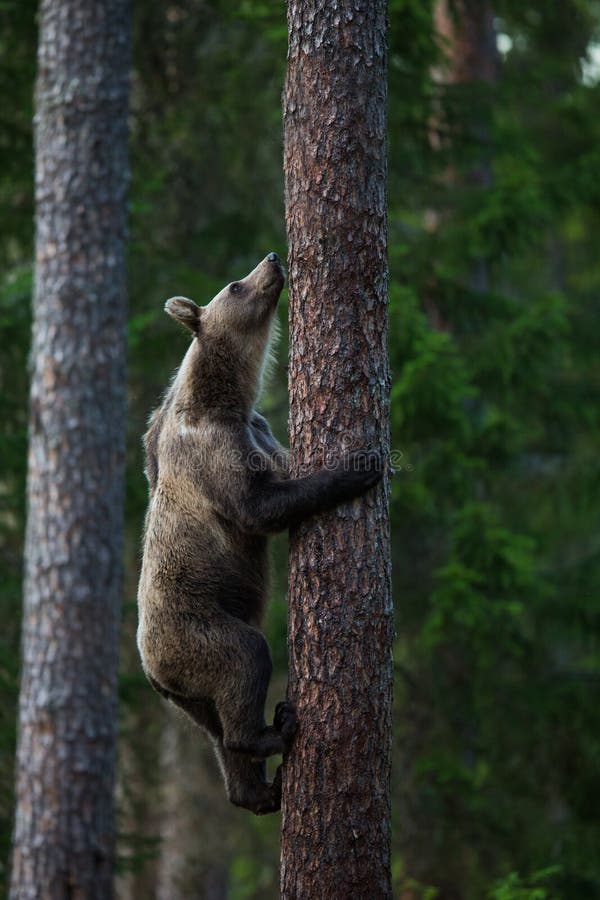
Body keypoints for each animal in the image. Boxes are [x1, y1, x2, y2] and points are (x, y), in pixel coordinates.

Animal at [137, 252, 382, 815]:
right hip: (197, 630)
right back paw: (275, 730)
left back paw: (258, 789)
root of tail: (152, 670)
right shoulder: (211, 452)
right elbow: (259, 506)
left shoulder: (257, 432)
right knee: (244, 662)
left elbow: (282, 469)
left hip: (187, 696)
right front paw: (359, 466)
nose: (271, 259)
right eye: (233, 284)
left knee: (217, 731)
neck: (225, 399)